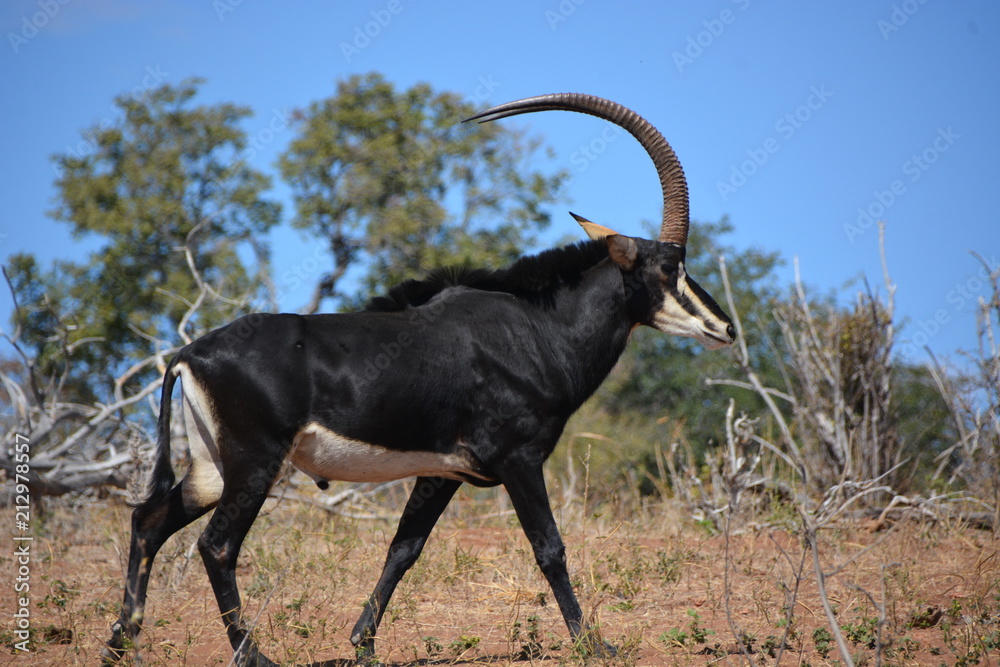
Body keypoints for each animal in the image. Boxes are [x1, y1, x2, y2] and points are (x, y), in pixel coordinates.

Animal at [103, 93, 735, 666]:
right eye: (669, 267)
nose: (725, 327)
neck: (536, 327)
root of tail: (189, 353)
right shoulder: (518, 460)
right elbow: (549, 548)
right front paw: (592, 644)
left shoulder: (443, 472)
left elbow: (404, 548)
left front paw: (363, 643)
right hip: (255, 465)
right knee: (216, 546)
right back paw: (252, 655)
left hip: (212, 469)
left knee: (149, 520)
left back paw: (120, 643)